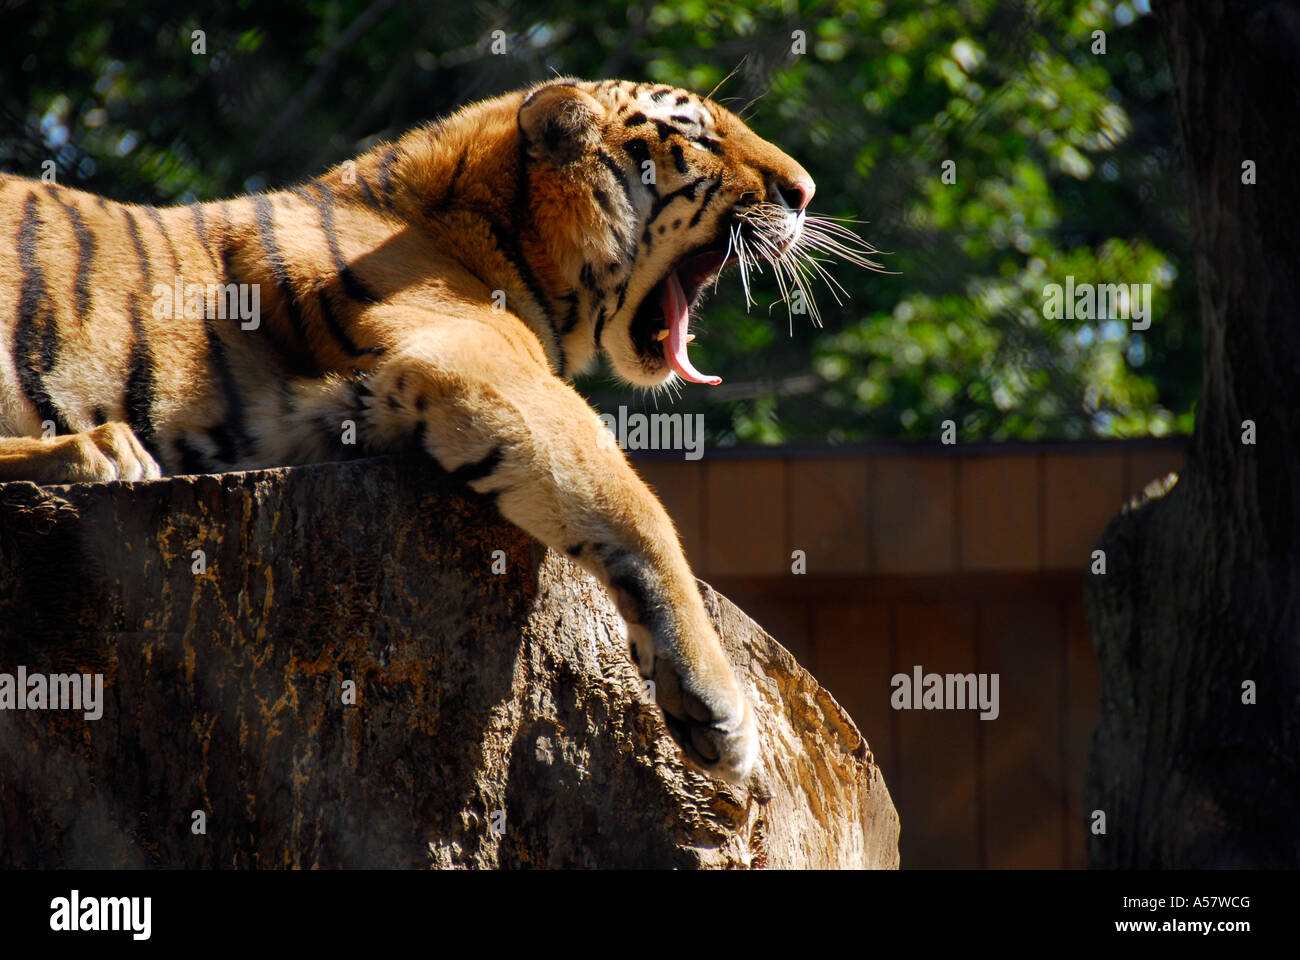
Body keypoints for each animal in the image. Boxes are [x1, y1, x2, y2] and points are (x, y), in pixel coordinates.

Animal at [0, 78, 859, 785]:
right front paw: (718, 709)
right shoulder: (481, 362)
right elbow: (640, 510)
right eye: (704, 138)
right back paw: (99, 449)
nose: (806, 191)